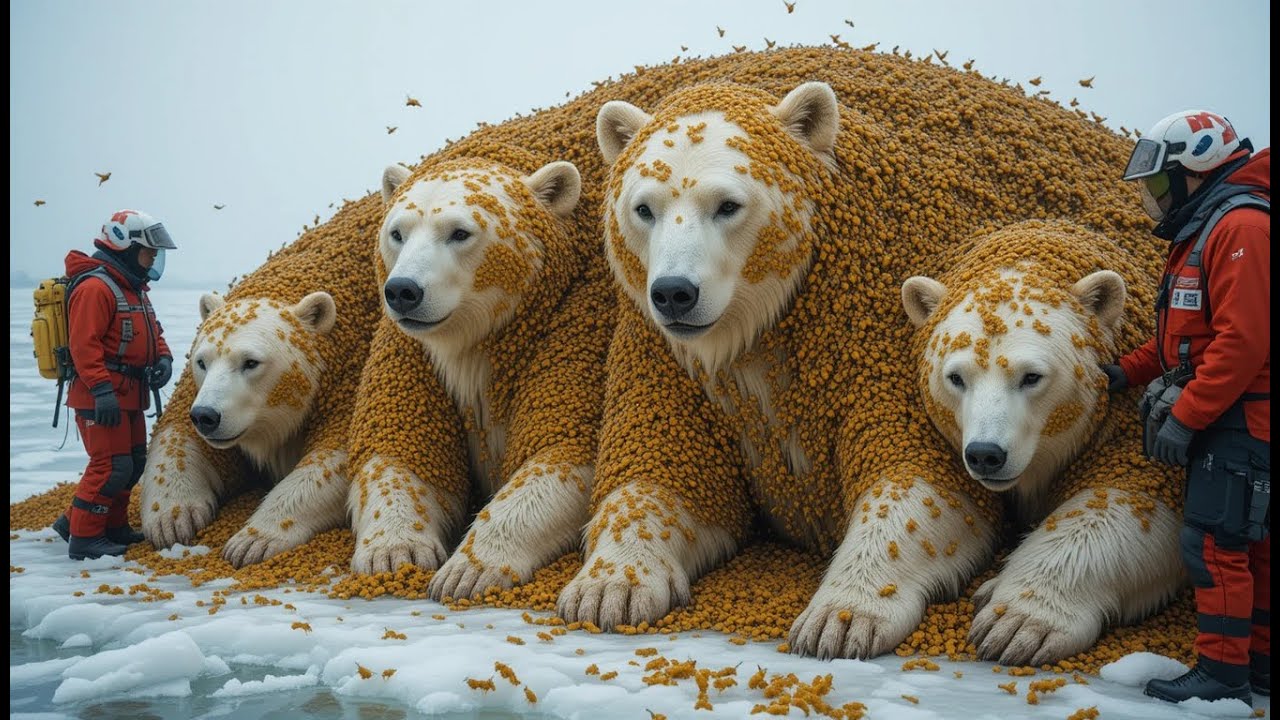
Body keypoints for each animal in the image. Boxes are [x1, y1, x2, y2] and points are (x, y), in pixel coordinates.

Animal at [139, 198, 383, 567]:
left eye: (250, 362)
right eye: (201, 361)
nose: (206, 416)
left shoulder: (349, 379)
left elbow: (334, 461)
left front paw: (253, 539)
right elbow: (178, 434)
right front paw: (170, 516)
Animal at [345, 146, 616, 603]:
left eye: (459, 232)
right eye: (397, 232)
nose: (402, 290)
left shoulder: (577, 322)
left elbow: (562, 451)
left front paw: (467, 571)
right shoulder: (414, 352)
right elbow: (402, 448)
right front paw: (394, 552)